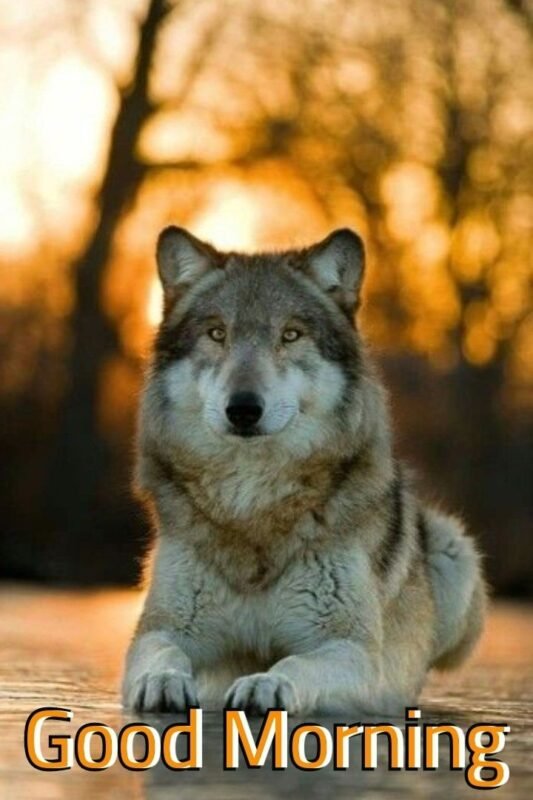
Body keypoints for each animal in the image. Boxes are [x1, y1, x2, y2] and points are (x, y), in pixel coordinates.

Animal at [122, 226, 486, 715]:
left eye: (290, 335)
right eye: (217, 333)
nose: (243, 409)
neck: (254, 503)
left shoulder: (350, 649)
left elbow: (296, 664)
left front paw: (267, 684)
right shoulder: (159, 630)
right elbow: (164, 652)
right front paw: (162, 680)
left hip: (454, 551)